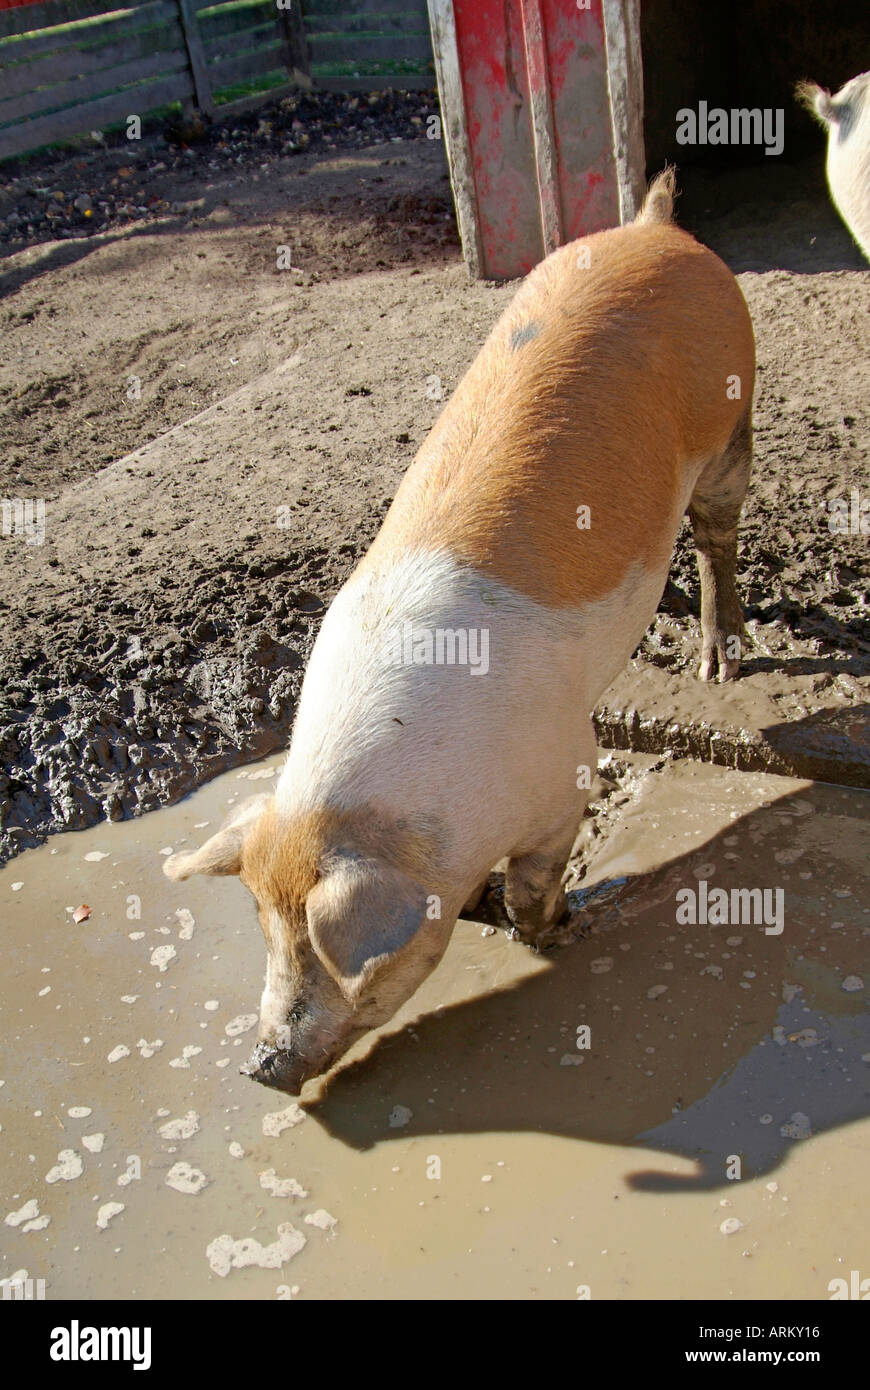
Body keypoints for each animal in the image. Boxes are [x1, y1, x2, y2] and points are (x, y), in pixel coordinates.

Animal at [164, 169, 755, 1095]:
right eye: (262, 927)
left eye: (337, 960)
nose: (259, 1067)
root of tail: (655, 228)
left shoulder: (565, 768)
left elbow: (532, 885)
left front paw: (561, 927)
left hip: (734, 415)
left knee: (718, 532)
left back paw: (718, 667)